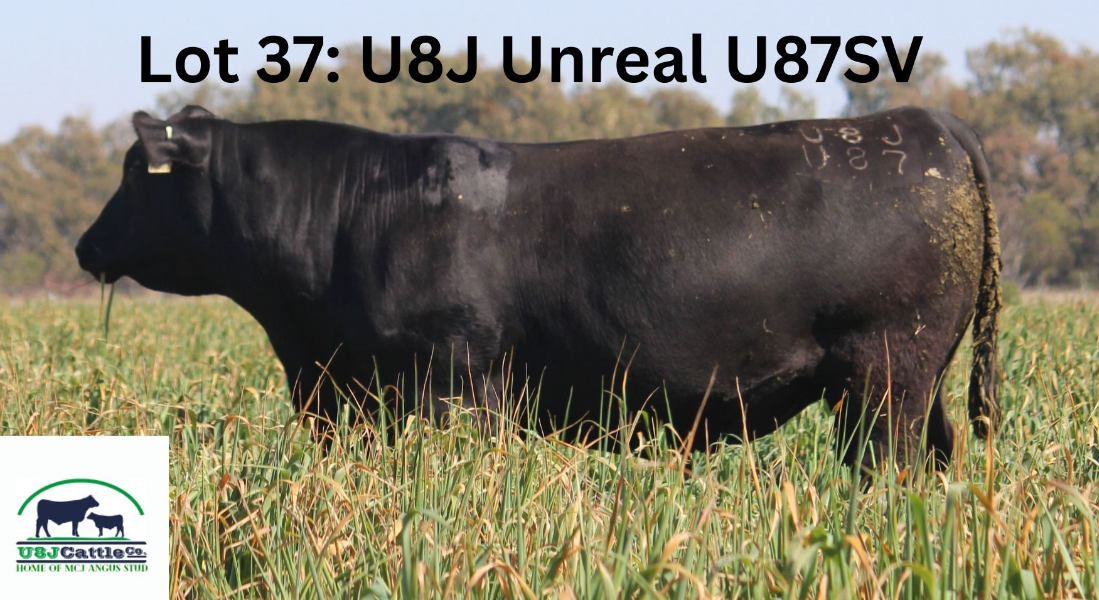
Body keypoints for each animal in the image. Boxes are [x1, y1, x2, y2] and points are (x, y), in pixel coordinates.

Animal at [76, 105, 1001, 470]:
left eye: (134, 174)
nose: (86, 245)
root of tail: (918, 121)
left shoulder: (453, 383)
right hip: (913, 384)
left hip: (886, 373)